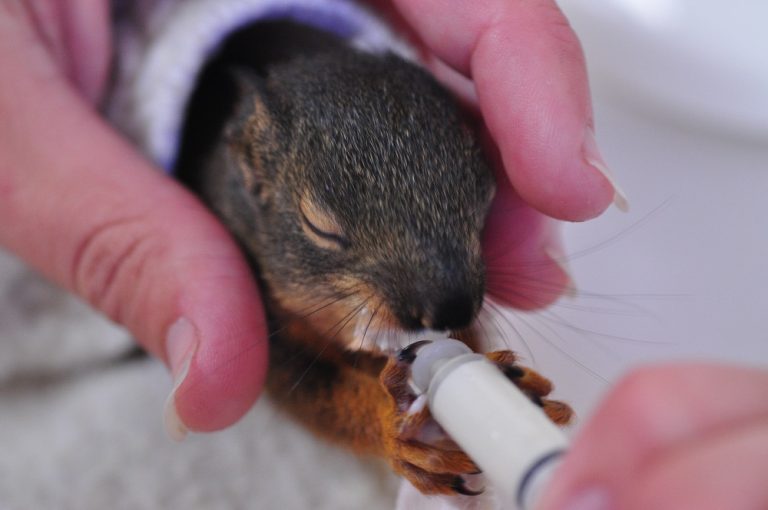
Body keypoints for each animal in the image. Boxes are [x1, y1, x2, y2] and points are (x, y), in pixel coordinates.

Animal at [175, 20, 572, 496]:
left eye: (486, 198)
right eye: (320, 226)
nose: (451, 305)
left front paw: (516, 385)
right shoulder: (272, 333)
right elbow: (325, 394)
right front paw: (392, 424)